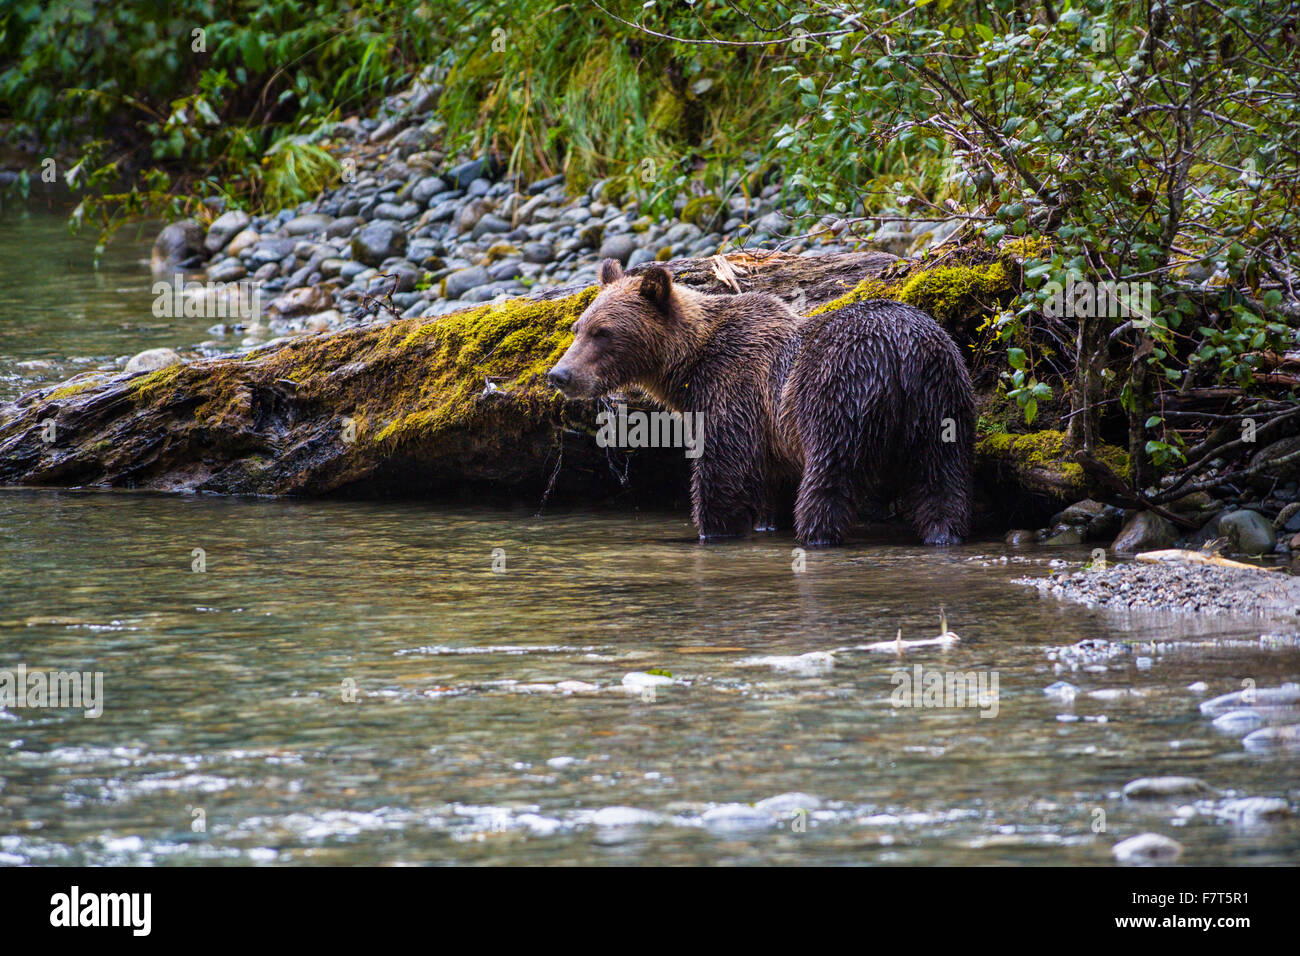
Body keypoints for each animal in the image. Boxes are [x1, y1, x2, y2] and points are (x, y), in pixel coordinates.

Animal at [547, 259, 974, 546]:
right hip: (943, 402)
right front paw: (765, 522)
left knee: (828, 479)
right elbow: (768, 486)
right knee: (942, 482)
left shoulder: (732, 391)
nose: (559, 374)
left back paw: (816, 535)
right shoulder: (772, 439)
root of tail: (902, 352)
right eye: (578, 327)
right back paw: (943, 534)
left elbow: (723, 471)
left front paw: (712, 530)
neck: (686, 368)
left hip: (838, 391)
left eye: (603, 332)